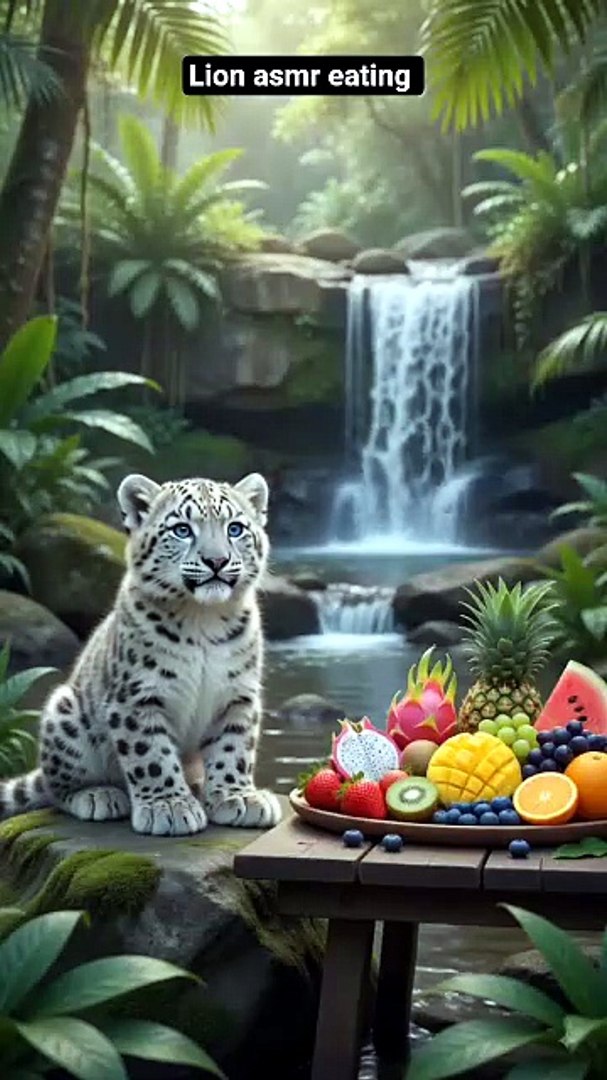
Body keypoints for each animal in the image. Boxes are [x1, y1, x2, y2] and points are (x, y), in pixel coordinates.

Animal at [0, 471, 282, 836]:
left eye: (235, 528)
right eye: (182, 530)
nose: (216, 561)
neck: (203, 618)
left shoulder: (237, 694)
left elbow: (234, 747)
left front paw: (238, 797)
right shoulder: (137, 696)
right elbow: (151, 755)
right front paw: (170, 807)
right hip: (64, 713)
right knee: (56, 787)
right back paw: (99, 796)